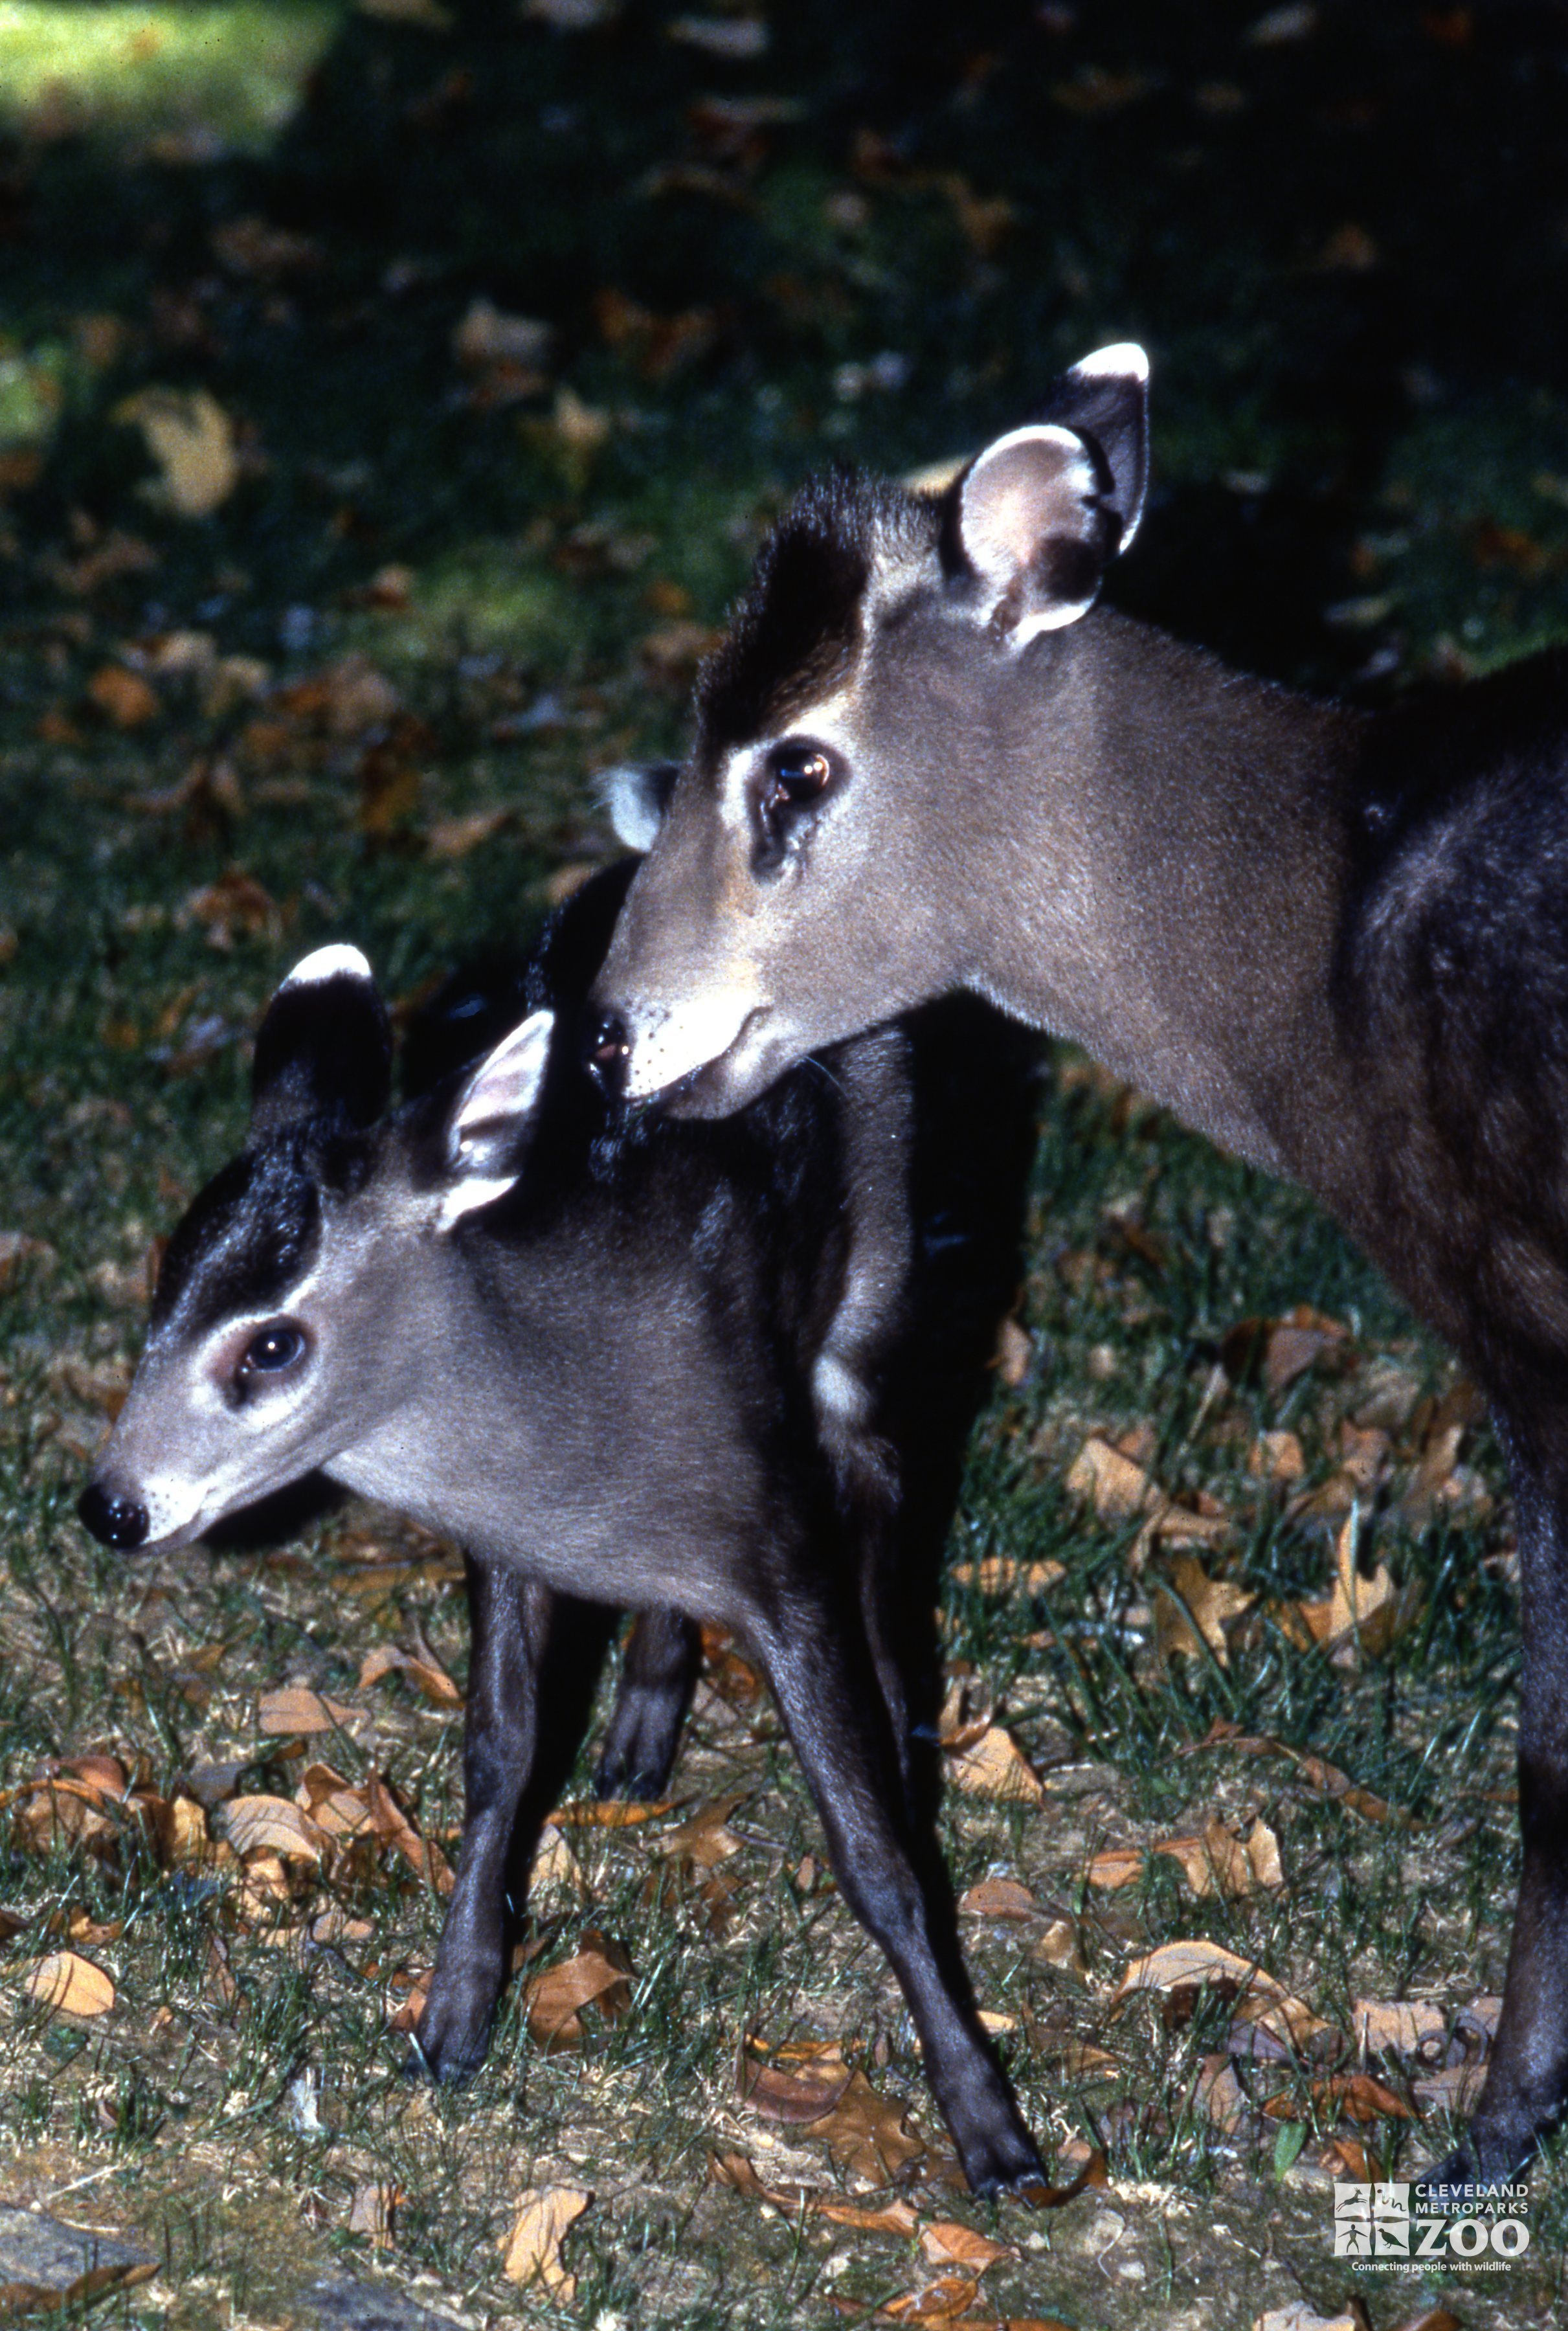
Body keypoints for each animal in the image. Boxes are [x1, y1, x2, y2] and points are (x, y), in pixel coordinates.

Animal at [77, 861, 1053, 2200]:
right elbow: (499, 1750)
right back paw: (638, 1736)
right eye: (162, 1286)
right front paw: (454, 2014)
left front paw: (990, 2128)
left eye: (271, 1344)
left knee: (885, 1483)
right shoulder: (505, 1539)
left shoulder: (780, 1541)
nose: (113, 1505)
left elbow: (875, 1859)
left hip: (874, 1278)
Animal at [587, 344, 1568, 2195]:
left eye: (796, 770)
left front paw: (1493, 2130)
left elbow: (1552, 1751)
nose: (610, 1032)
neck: (1316, 978)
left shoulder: (1528, 1328)